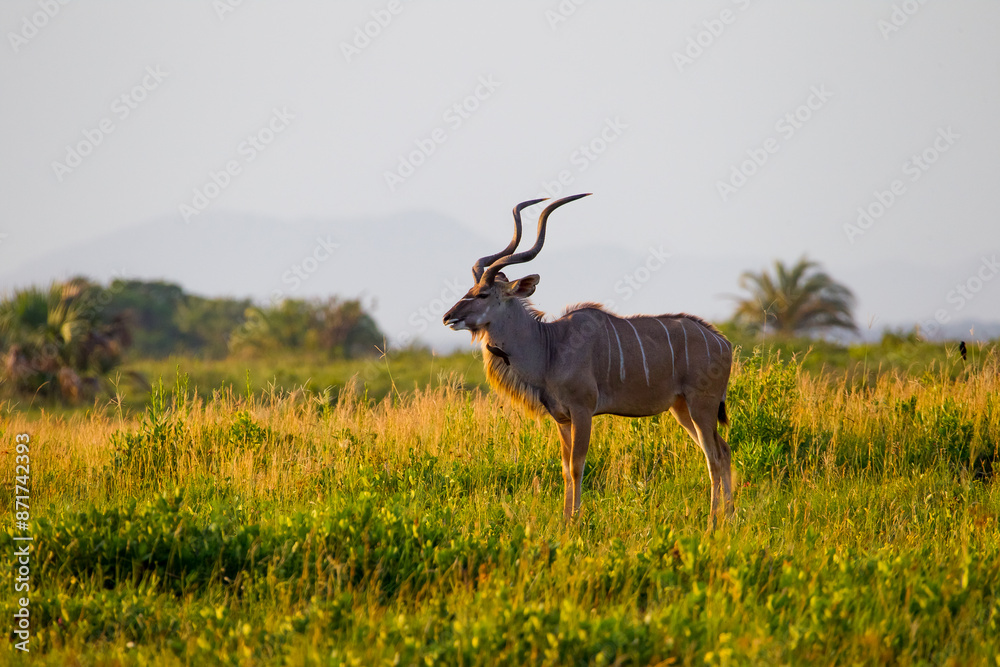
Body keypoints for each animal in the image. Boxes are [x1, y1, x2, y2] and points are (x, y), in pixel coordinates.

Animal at [443, 194, 735, 526]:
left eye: (483, 294)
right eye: (469, 290)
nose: (448, 317)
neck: (550, 346)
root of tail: (723, 343)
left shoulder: (582, 412)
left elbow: (576, 466)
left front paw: (575, 522)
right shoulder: (562, 418)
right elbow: (564, 468)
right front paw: (565, 520)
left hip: (701, 406)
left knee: (714, 456)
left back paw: (714, 521)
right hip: (681, 408)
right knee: (723, 450)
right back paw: (731, 516)